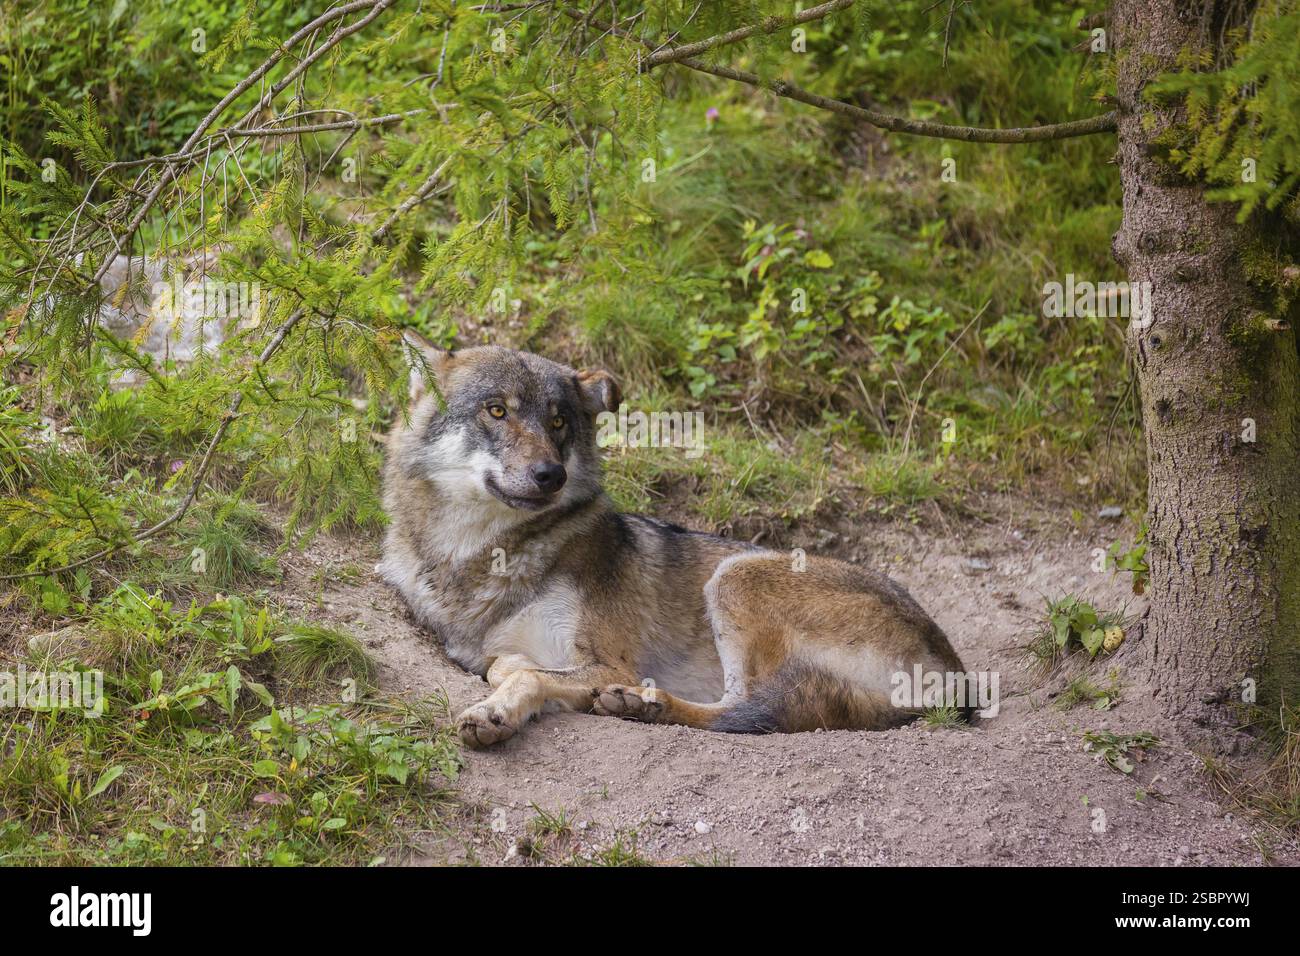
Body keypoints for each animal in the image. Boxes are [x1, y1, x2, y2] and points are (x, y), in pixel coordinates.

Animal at [380, 336, 967, 748]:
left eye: (559, 422)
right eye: (497, 410)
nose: (551, 475)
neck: (476, 555)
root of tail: (961, 676)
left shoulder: (607, 663)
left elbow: (523, 674)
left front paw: (495, 711)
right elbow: (504, 663)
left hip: (737, 576)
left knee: (750, 712)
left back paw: (645, 703)